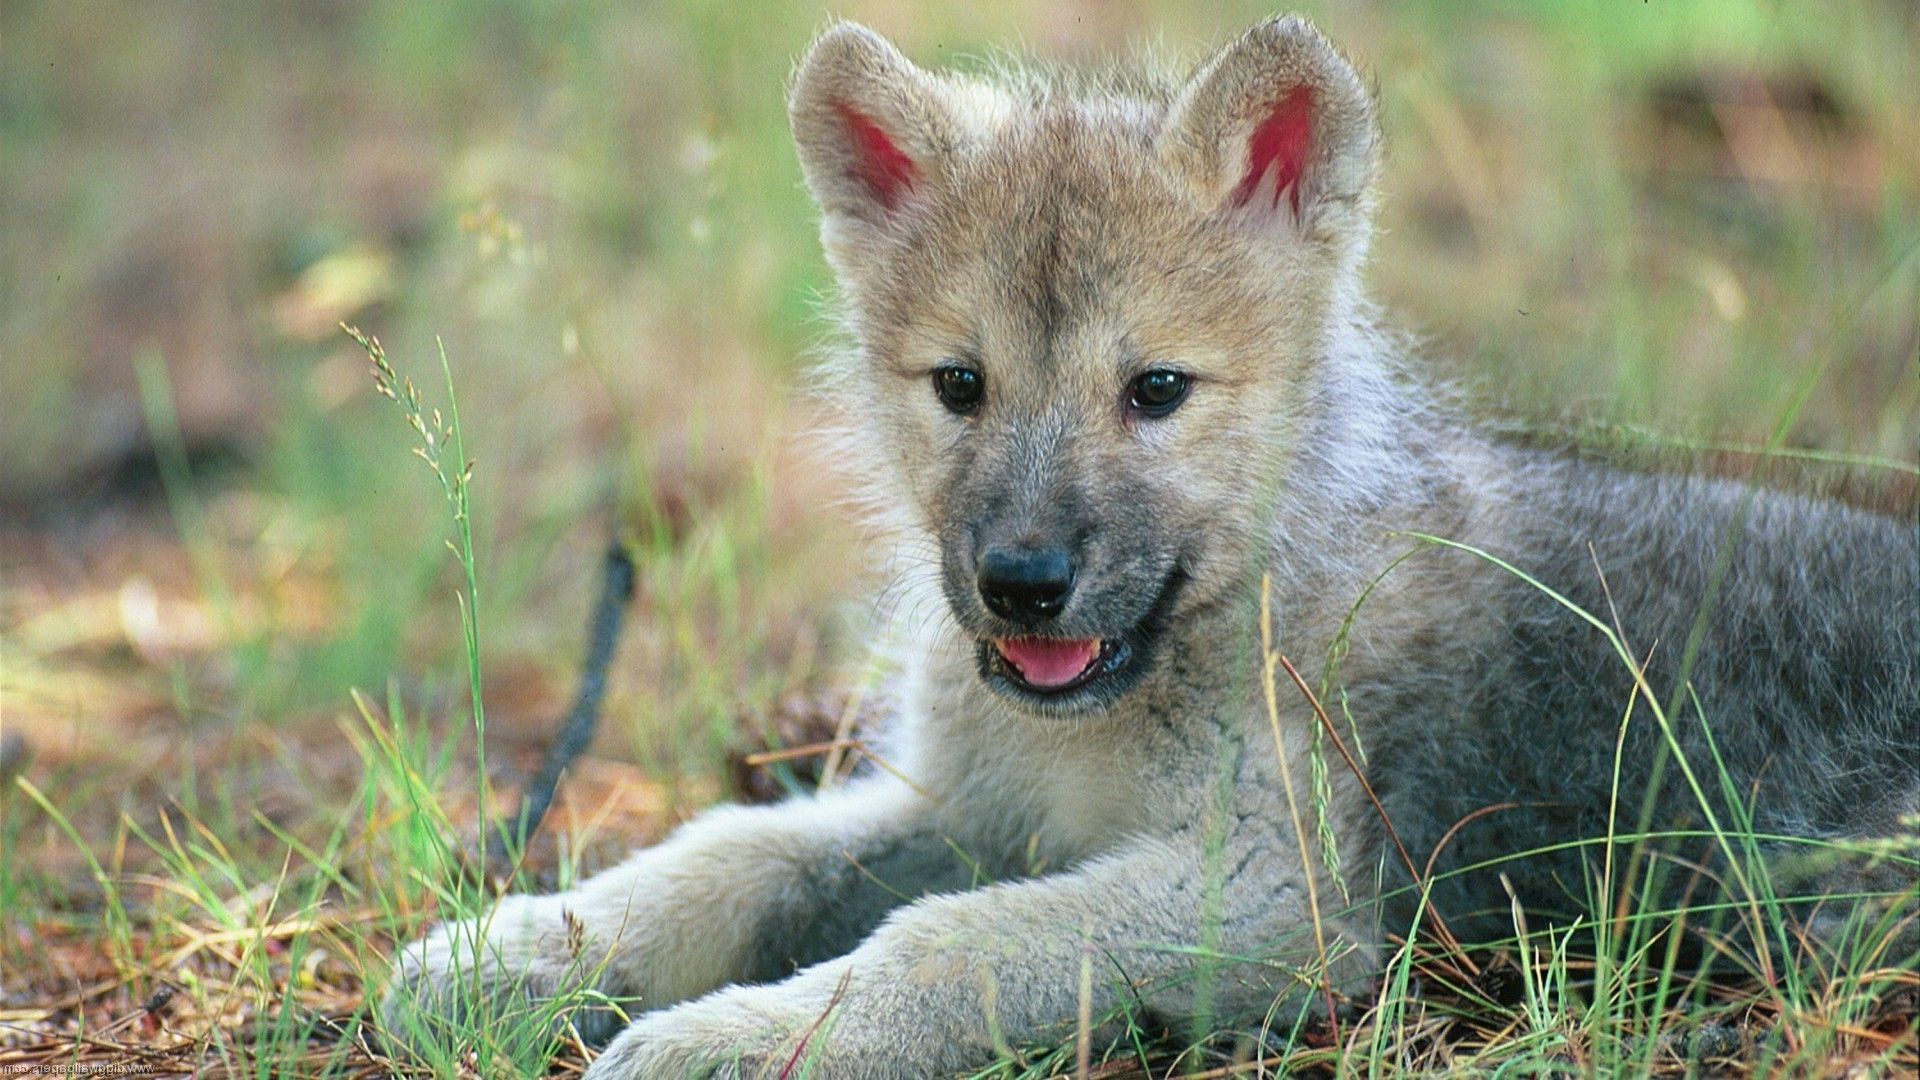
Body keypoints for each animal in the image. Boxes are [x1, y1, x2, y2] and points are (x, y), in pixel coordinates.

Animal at [385, 15, 1920, 1078]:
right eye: (960, 385)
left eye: (1158, 391)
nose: (1021, 586)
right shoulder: (966, 806)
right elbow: (738, 853)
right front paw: (528, 946)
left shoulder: (1278, 898)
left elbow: (942, 943)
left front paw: (745, 1039)